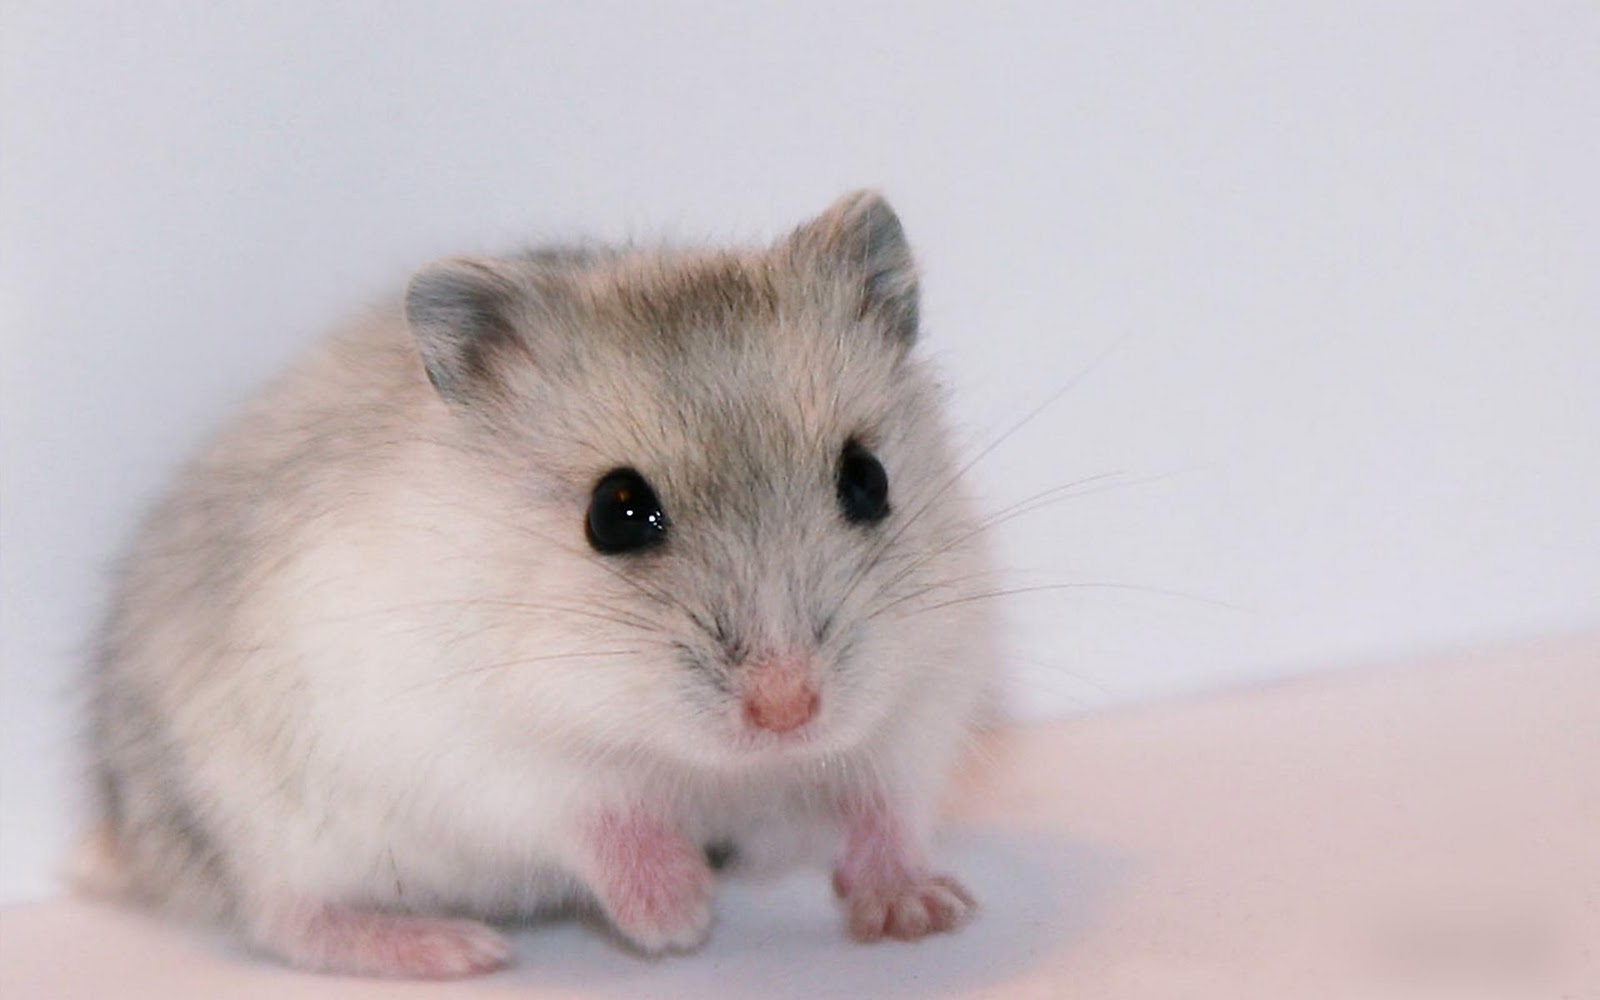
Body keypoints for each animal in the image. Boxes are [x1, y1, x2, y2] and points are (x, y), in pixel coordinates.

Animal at [78, 191, 998, 978]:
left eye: (869, 479)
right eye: (615, 513)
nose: (788, 711)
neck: (708, 764)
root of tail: (125, 827)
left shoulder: (923, 696)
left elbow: (885, 804)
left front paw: (924, 911)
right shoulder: (483, 753)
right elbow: (596, 812)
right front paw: (681, 916)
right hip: (266, 821)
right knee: (284, 917)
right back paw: (458, 950)